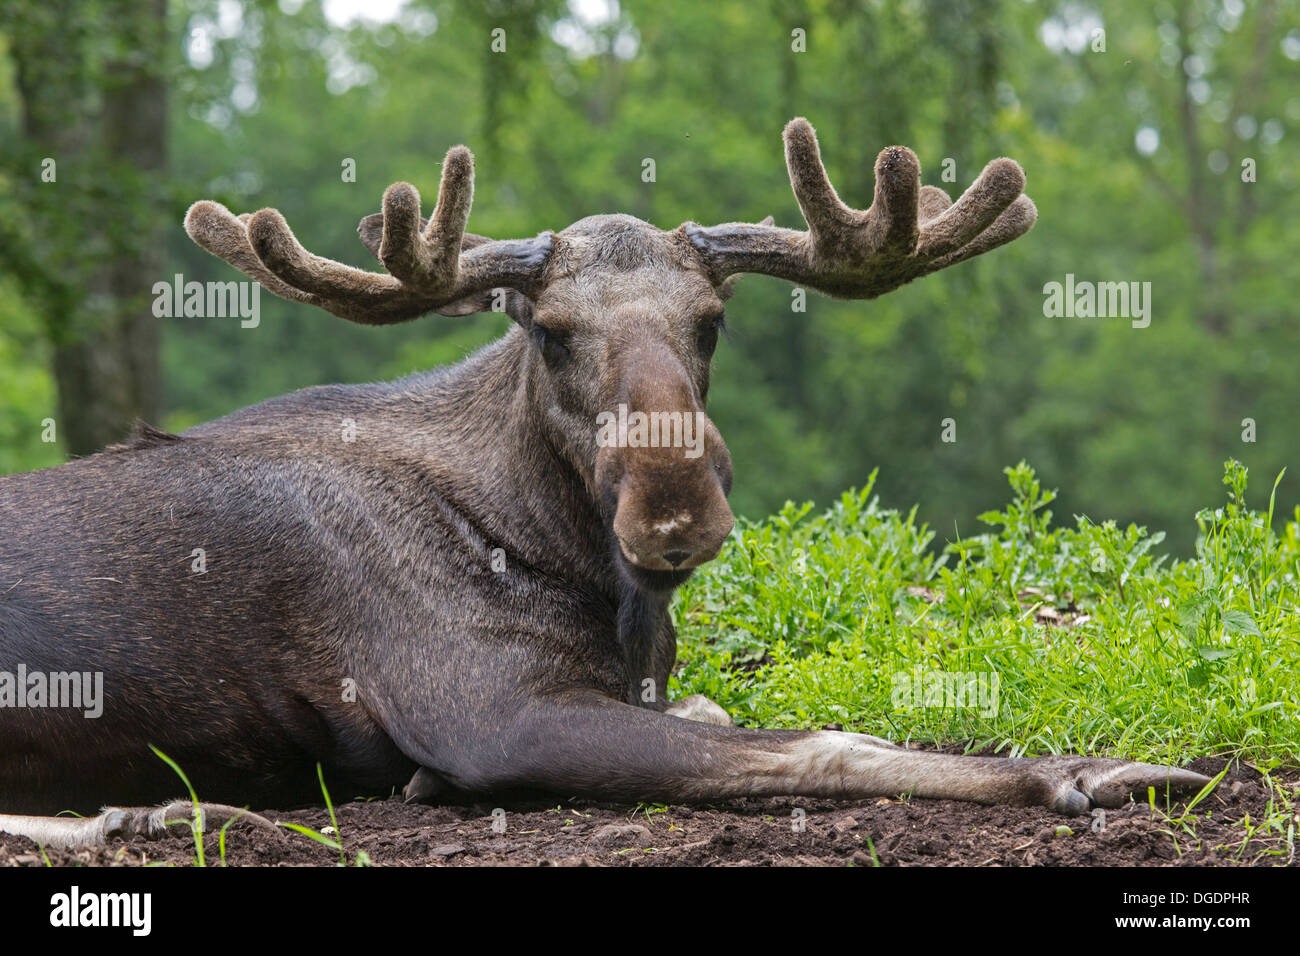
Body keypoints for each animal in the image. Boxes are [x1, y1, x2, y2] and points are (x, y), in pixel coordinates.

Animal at [0, 119, 1210, 848]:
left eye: (710, 322)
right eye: (549, 331)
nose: (674, 510)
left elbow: (733, 708)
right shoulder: (488, 709)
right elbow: (823, 743)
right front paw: (1096, 769)